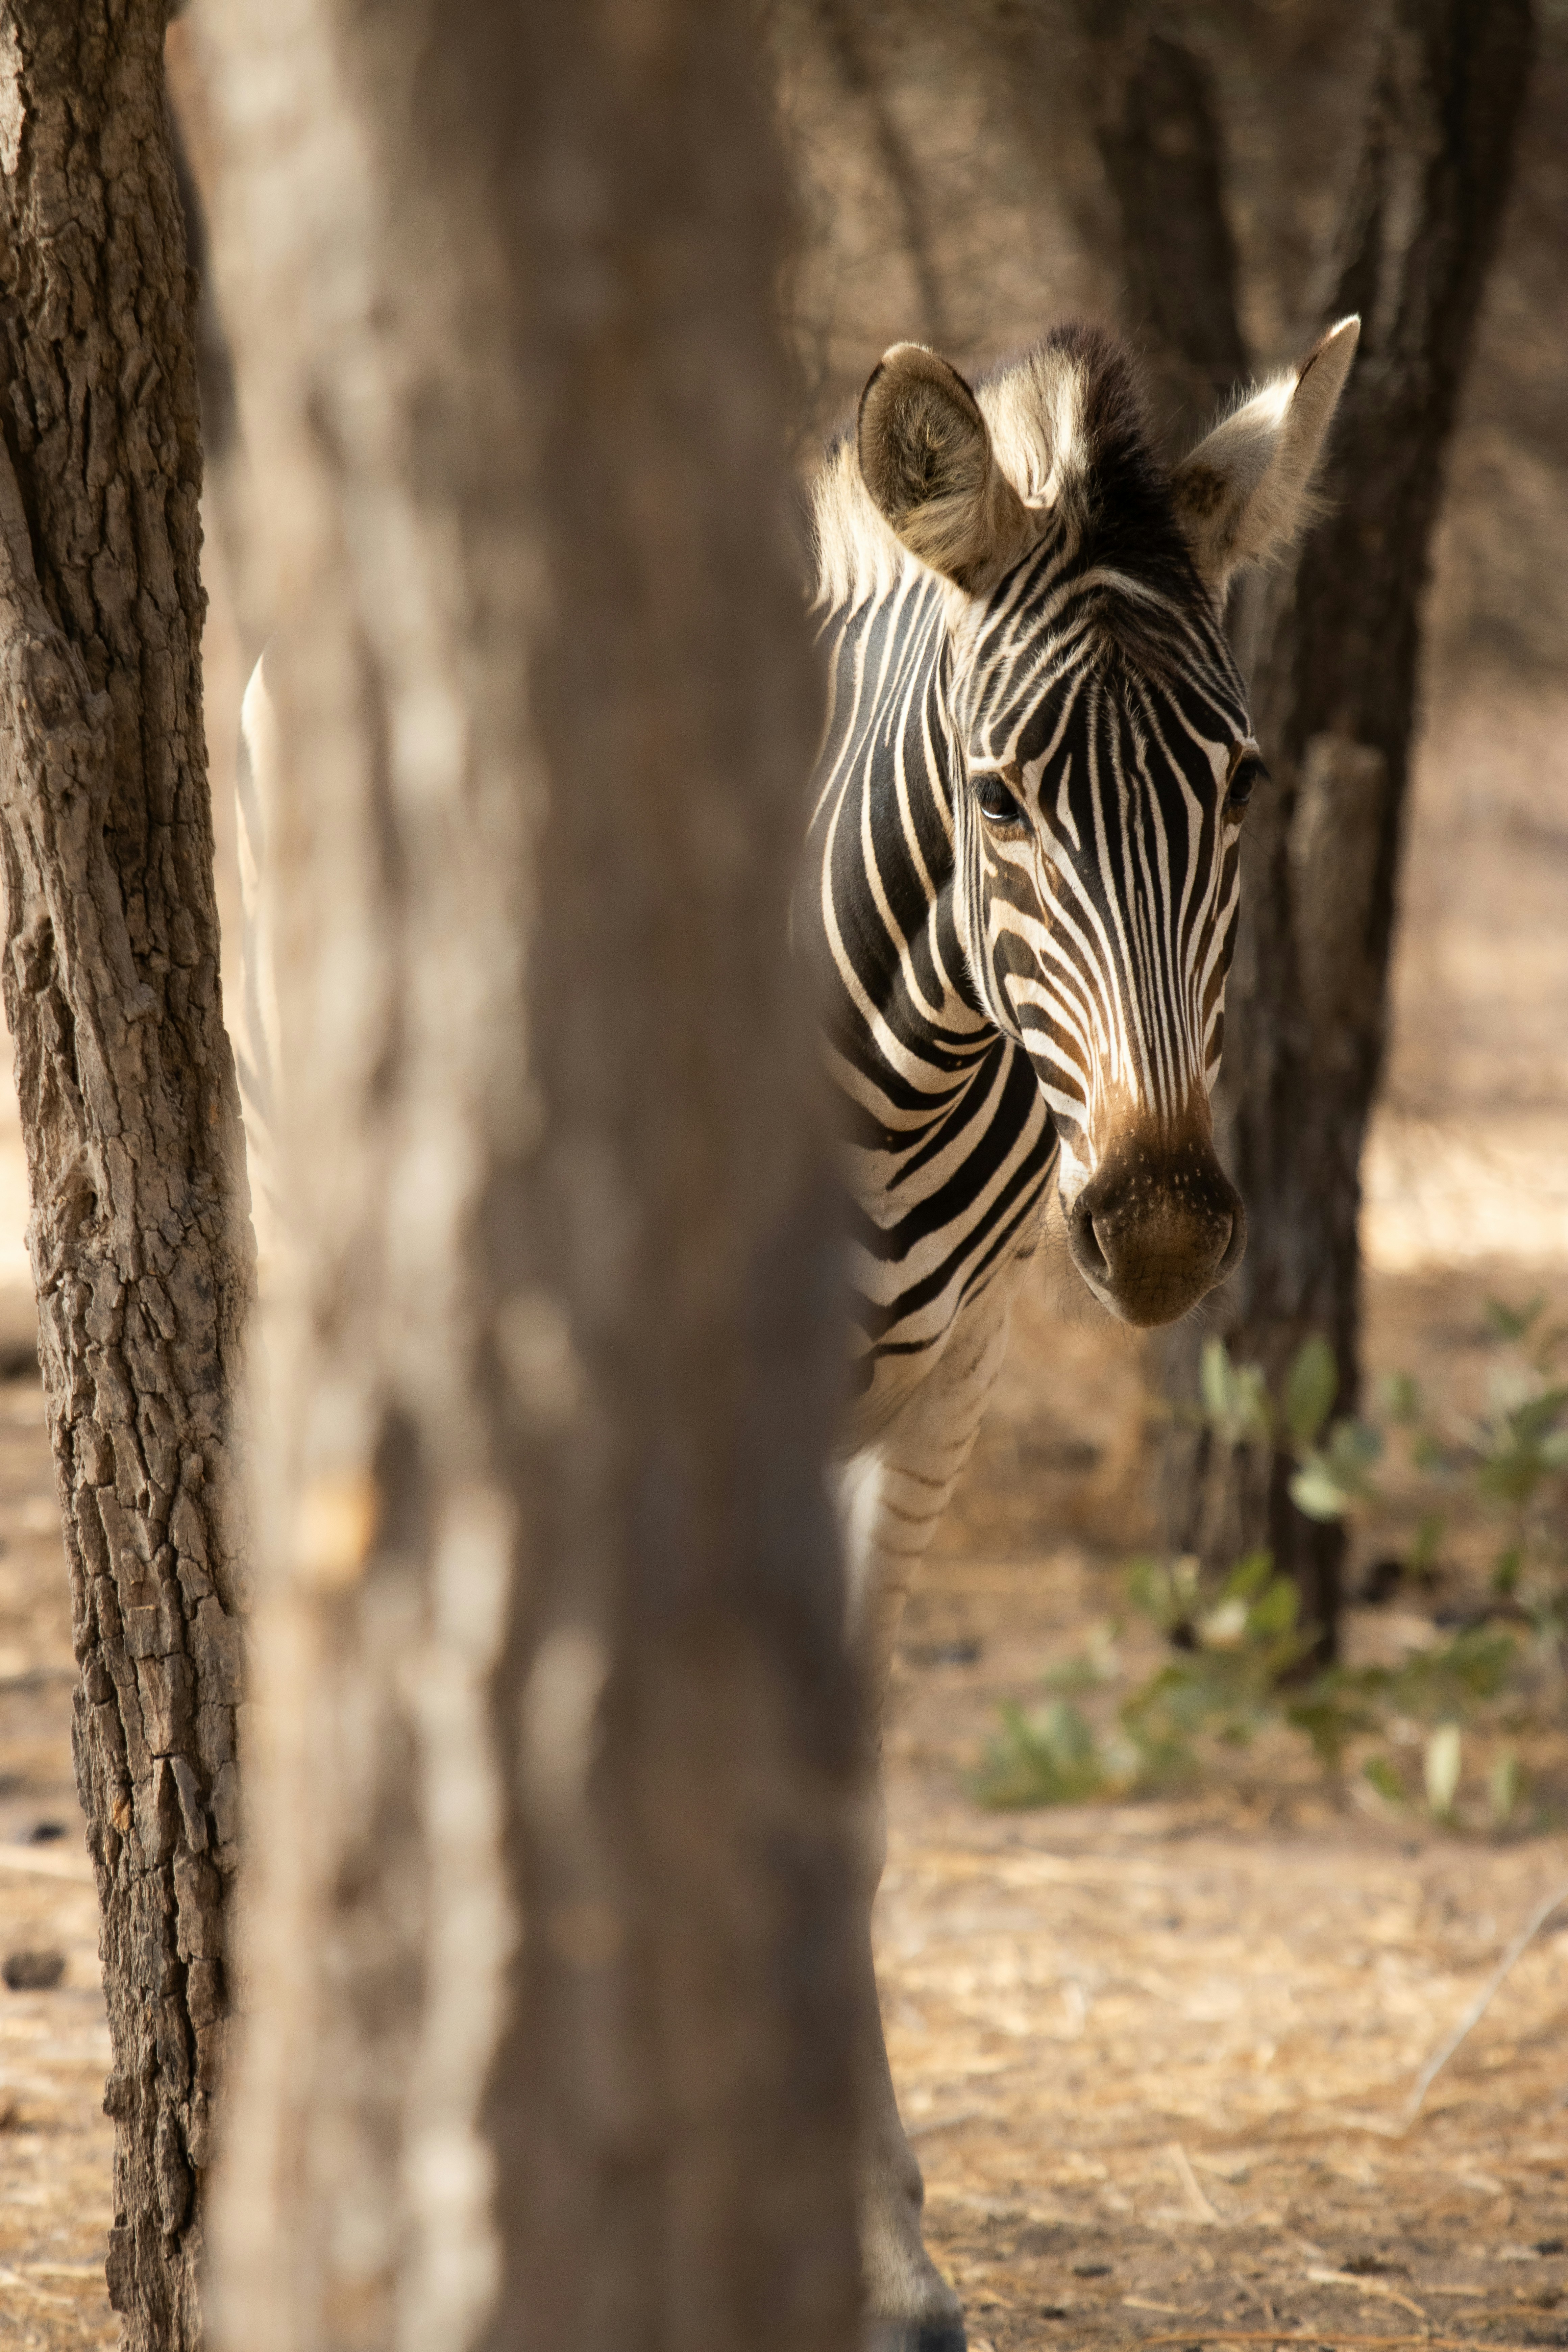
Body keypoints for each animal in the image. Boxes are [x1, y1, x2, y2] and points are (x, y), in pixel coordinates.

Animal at [801, 314, 1359, 2351]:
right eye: (999, 802)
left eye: (1247, 783)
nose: (1169, 1219)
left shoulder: (929, 1400)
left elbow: (839, 1809)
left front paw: (878, 2259)